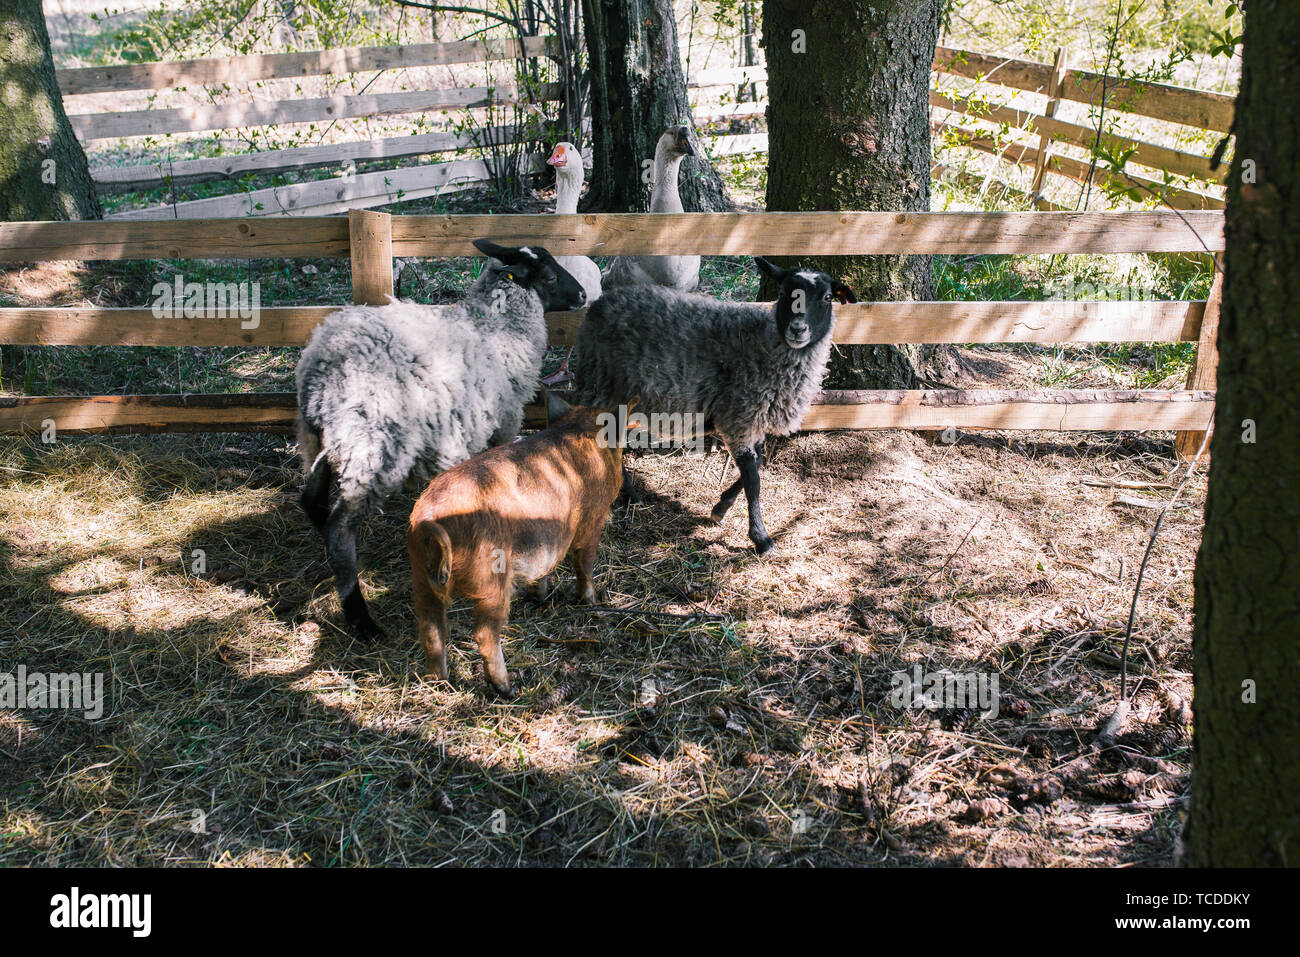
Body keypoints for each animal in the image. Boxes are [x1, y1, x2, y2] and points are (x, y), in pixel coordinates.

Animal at [296, 239, 587, 641]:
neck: (499, 327)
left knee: (312, 502)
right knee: (339, 530)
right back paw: (363, 620)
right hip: (373, 449)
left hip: (322, 441)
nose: (583, 294)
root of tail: (322, 367)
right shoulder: (506, 417)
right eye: (547, 276)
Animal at [407, 395, 625, 697]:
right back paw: (508, 688)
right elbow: (585, 564)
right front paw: (590, 601)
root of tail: (430, 518)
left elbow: (546, 569)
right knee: (484, 633)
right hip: (491, 579)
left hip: (420, 577)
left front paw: (541, 598)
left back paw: (437, 682)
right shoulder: (591, 521)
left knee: (430, 628)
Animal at [572, 256, 856, 556]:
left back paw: (629, 496)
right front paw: (761, 537)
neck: (764, 345)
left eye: (827, 297)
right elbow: (753, 480)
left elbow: (758, 464)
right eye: (782, 293)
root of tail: (599, 305)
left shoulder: (752, 419)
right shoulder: (739, 416)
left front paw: (721, 507)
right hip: (601, 385)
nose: (798, 329)